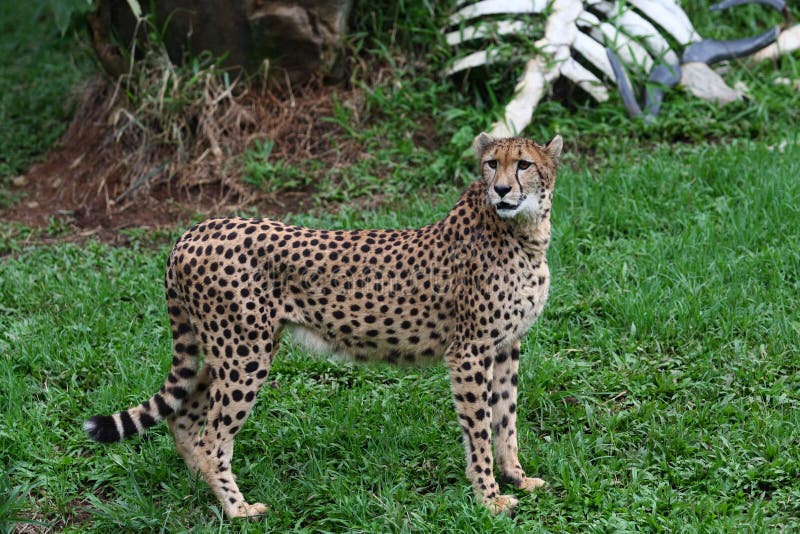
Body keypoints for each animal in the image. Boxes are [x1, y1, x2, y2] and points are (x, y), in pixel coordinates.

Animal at [84, 132, 563, 518]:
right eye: (492, 163)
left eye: (524, 164)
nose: (501, 190)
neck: (522, 231)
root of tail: (194, 230)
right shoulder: (469, 351)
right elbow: (479, 427)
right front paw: (489, 497)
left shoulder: (506, 346)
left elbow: (506, 418)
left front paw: (517, 478)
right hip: (245, 353)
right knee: (212, 438)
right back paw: (238, 510)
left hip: (230, 348)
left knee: (185, 412)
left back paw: (204, 490)